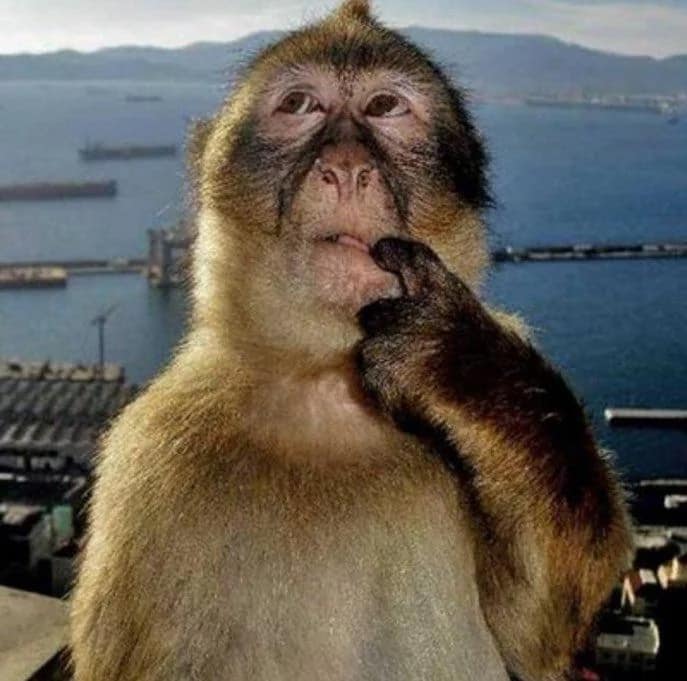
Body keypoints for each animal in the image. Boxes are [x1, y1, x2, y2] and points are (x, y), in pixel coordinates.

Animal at [69, 2, 632, 680]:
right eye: (300, 105)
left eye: (385, 106)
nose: (345, 168)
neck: (327, 386)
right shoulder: (147, 463)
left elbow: (535, 635)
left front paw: (459, 362)